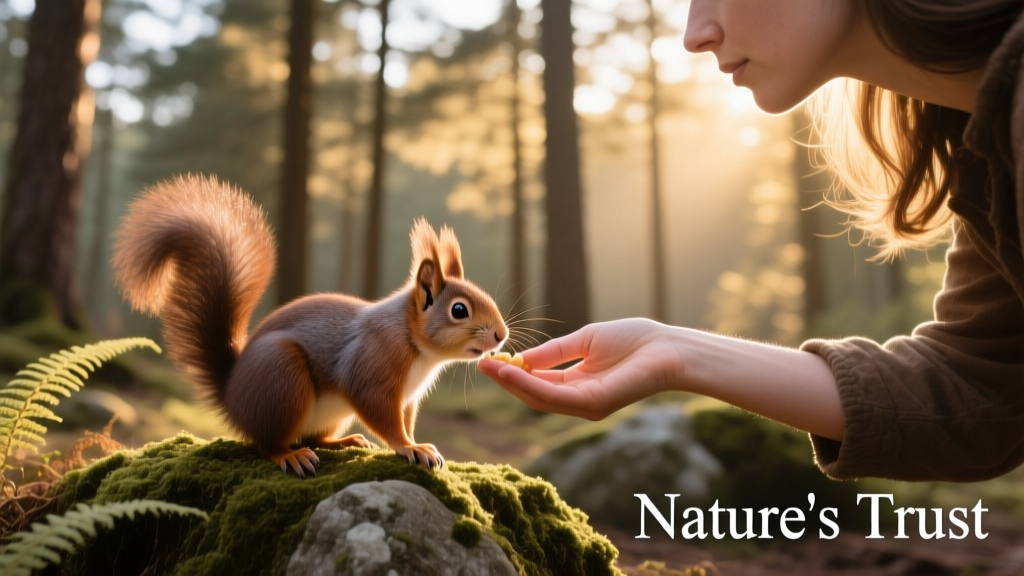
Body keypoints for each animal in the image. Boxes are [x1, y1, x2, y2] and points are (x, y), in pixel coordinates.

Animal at [111, 174, 508, 477]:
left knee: (314, 437)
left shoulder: (408, 398)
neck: (415, 345)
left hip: (328, 411)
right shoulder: (371, 371)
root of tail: (232, 395)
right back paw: (290, 456)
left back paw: (344, 441)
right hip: (282, 380)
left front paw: (416, 443)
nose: (501, 335)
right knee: (267, 444)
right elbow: (384, 418)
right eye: (459, 309)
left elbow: (405, 421)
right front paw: (411, 448)